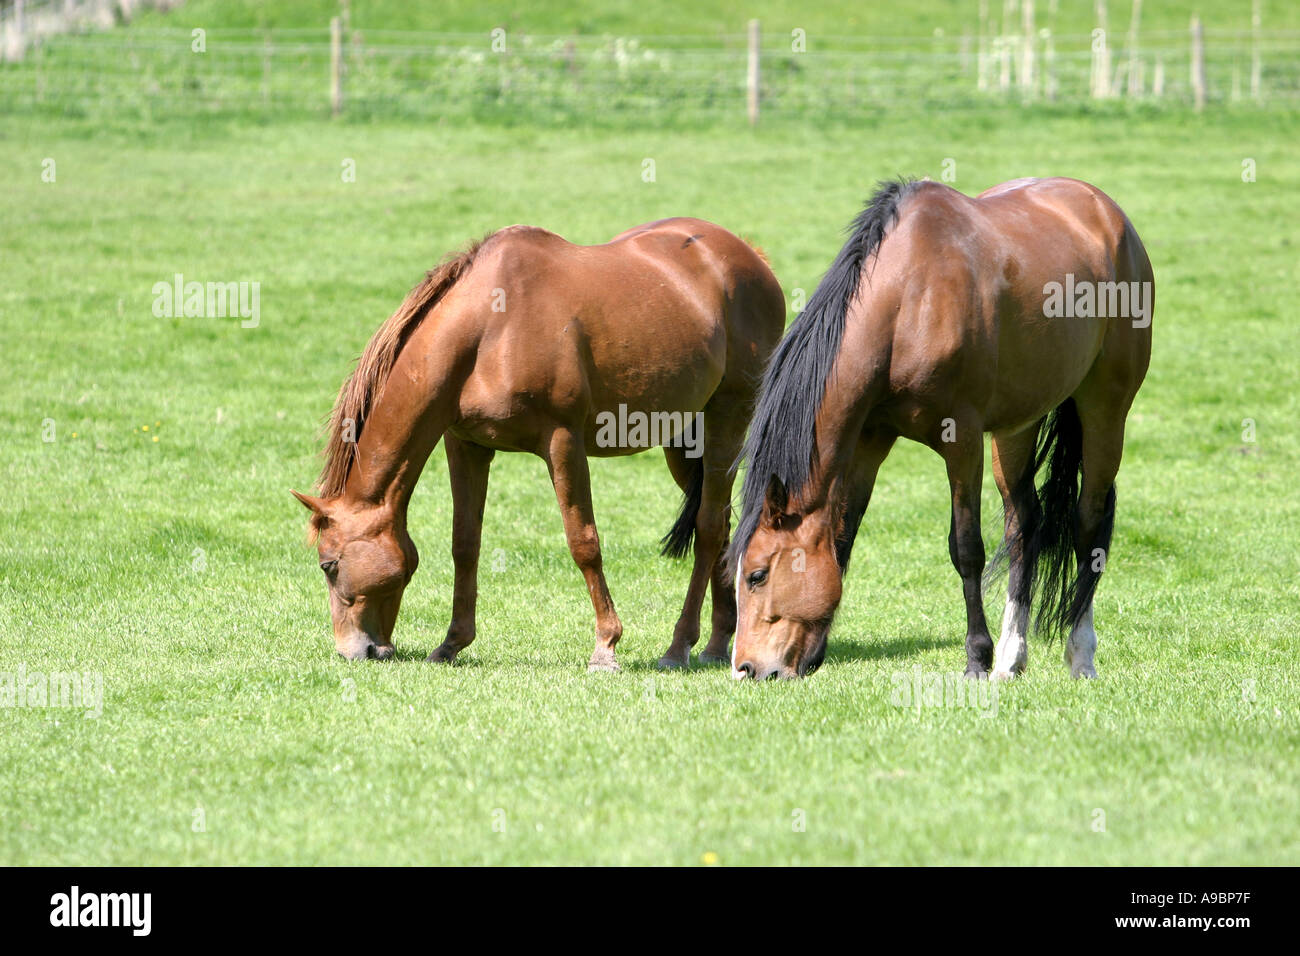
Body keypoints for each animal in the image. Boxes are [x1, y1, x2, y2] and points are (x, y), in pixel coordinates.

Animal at [292, 219, 785, 671]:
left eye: (328, 565)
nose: (355, 651)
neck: (490, 328)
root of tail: (751, 257)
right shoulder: (465, 445)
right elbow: (464, 543)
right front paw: (452, 643)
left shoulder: (562, 441)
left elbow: (583, 541)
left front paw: (606, 646)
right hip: (683, 441)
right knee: (724, 525)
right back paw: (718, 642)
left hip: (726, 420)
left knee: (709, 528)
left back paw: (680, 646)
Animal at [729, 177, 1153, 681]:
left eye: (757, 575)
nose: (745, 669)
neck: (908, 301)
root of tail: (1109, 213)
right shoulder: (870, 440)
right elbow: (843, 539)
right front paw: (816, 653)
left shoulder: (962, 440)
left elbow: (966, 548)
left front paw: (975, 658)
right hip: (1016, 427)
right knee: (1023, 525)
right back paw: (1012, 657)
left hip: (1105, 408)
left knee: (1088, 521)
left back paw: (1079, 652)